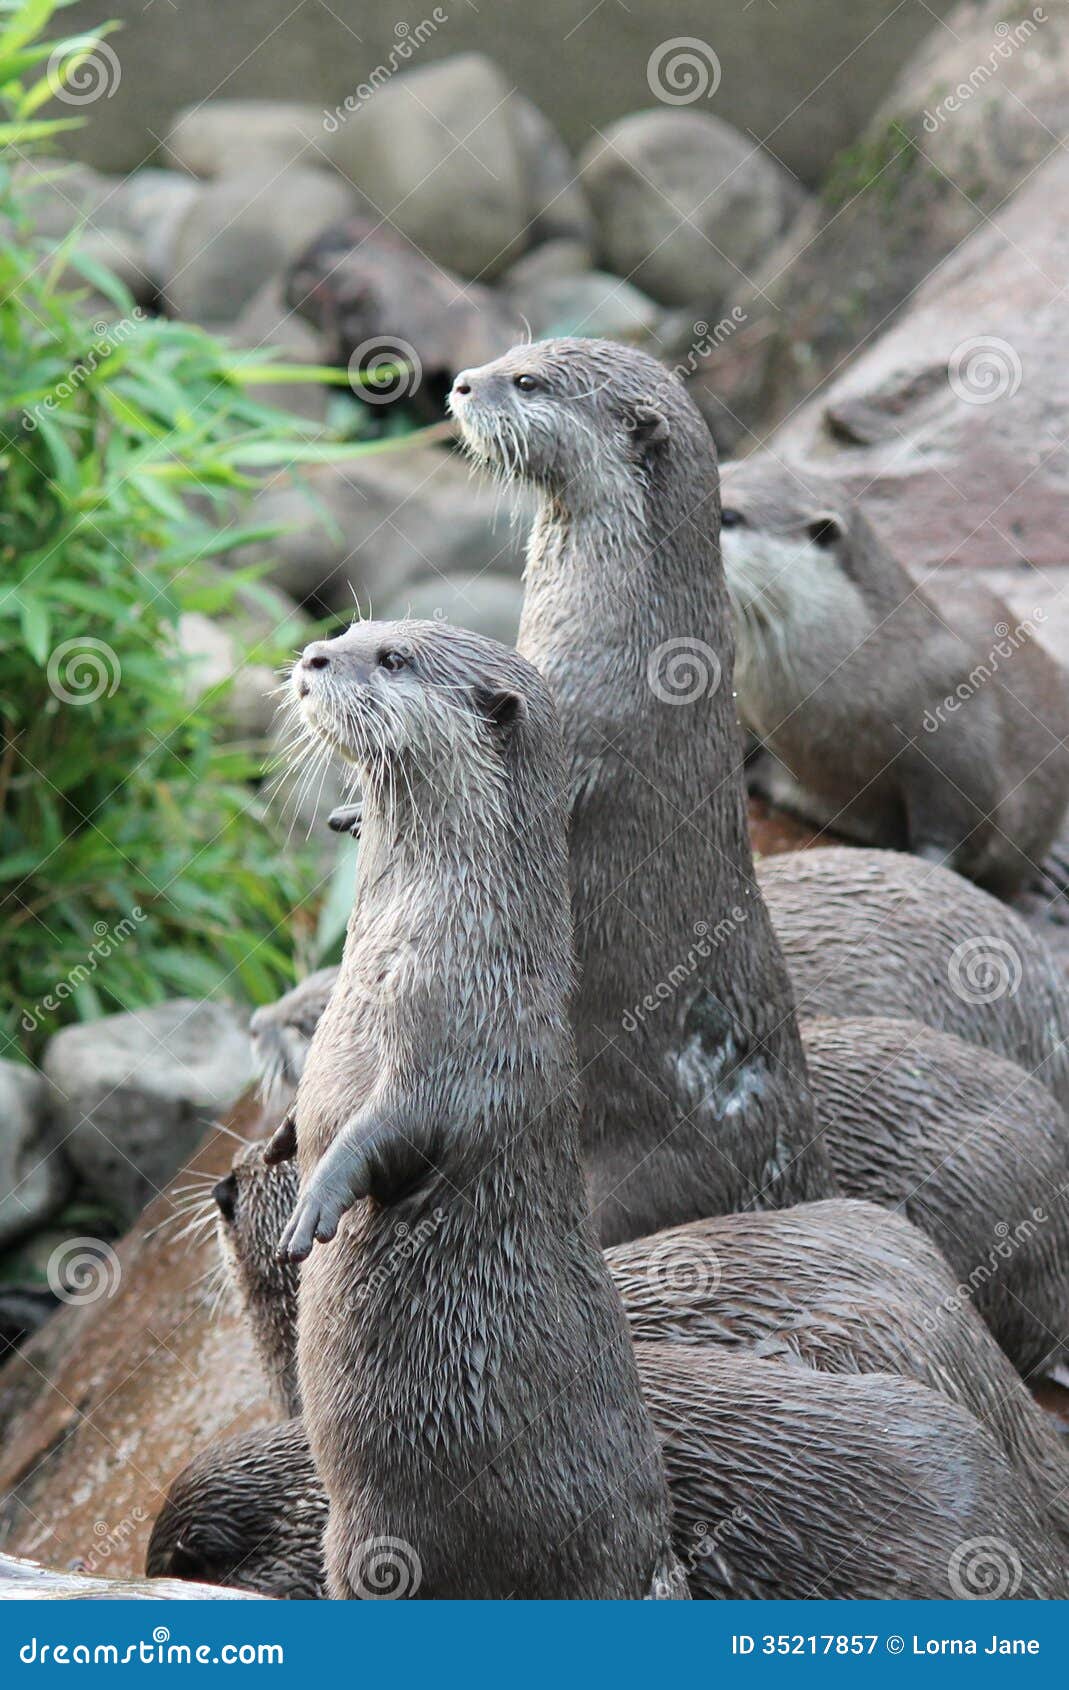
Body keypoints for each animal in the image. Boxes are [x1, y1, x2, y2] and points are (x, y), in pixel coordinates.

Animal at [266, 616, 1066, 1600]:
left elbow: (400, 1128)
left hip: (385, 1530)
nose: (312, 659)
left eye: (391, 661)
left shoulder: (465, 1039)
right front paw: (281, 1143)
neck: (433, 935)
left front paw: (314, 1200)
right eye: (352, 629)